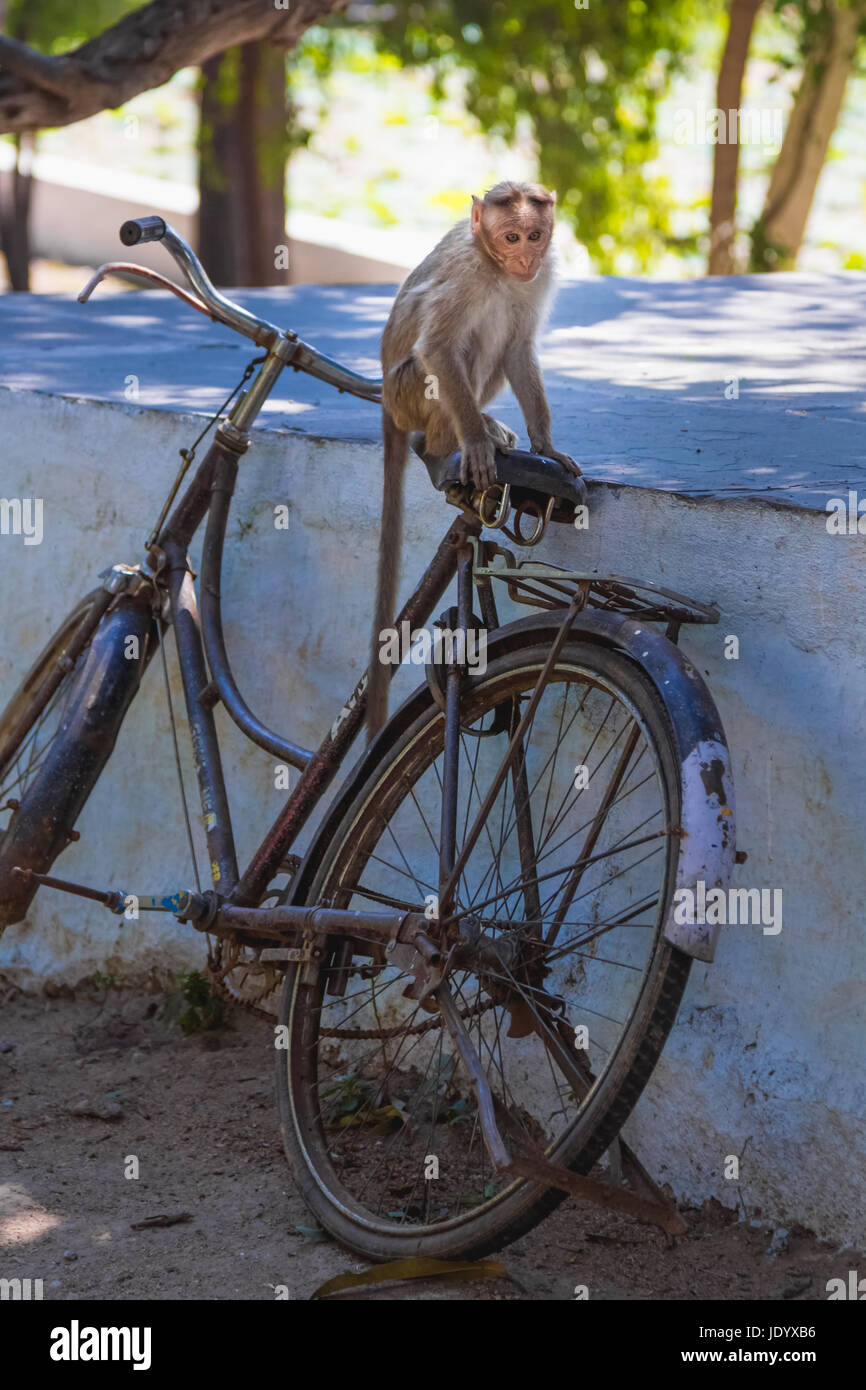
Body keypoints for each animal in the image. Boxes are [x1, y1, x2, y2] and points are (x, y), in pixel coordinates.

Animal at [366, 179, 581, 739]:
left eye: (535, 235)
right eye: (510, 237)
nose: (525, 257)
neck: (494, 266)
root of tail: (386, 403)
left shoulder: (538, 278)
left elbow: (520, 348)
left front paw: (545, 447)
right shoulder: (466, 275)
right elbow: (440, 348)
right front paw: (478, 447)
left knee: (500, 341)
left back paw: (485, 426)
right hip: (408, 393)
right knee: (462, 348)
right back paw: (454, 442)